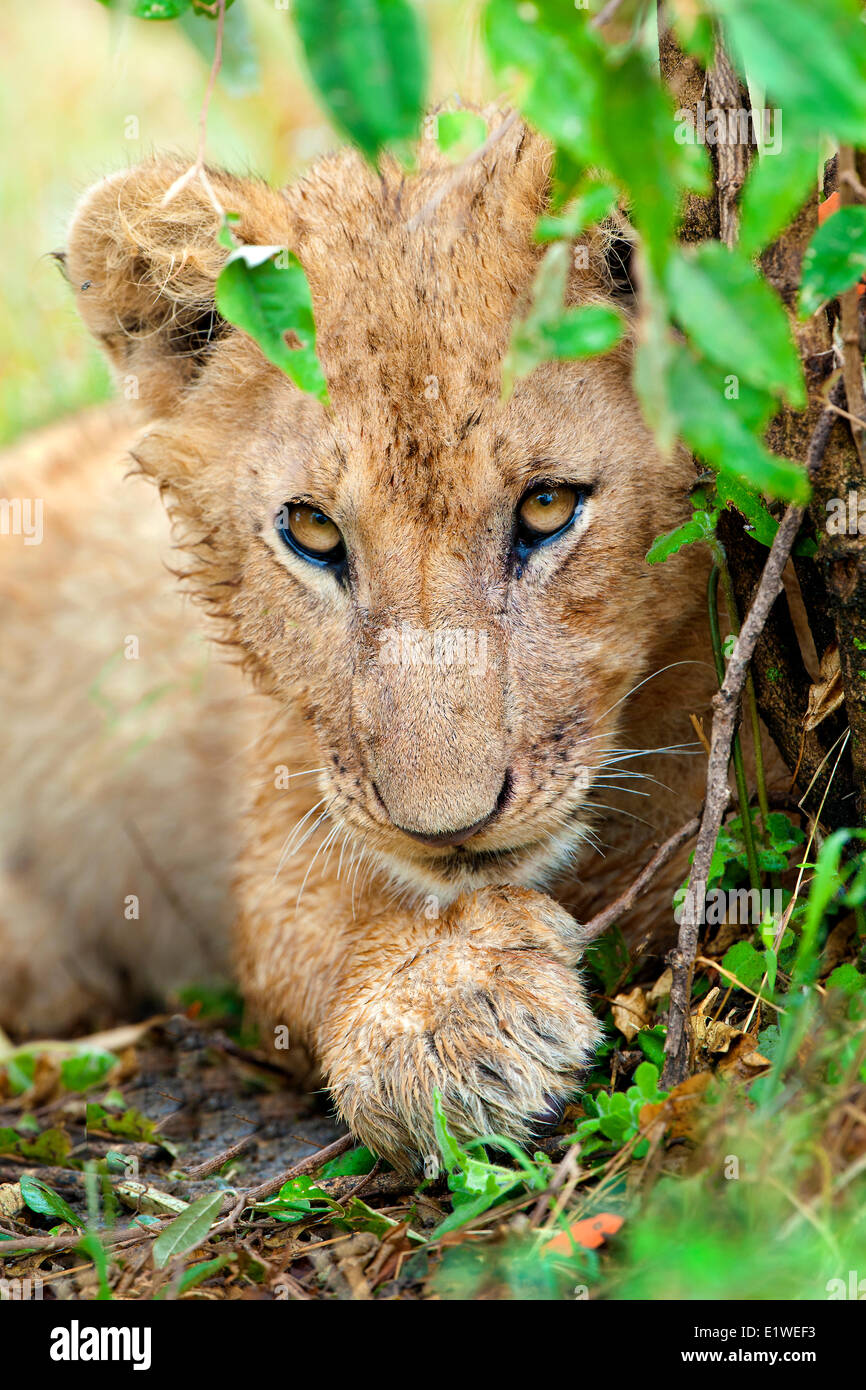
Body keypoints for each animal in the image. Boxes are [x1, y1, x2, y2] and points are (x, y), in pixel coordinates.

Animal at [0, 115, 716, 1166]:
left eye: (548, 507)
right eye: (313, 532)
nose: (445, 827)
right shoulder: (292, 774)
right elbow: (308, 919)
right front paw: (443, 1017)